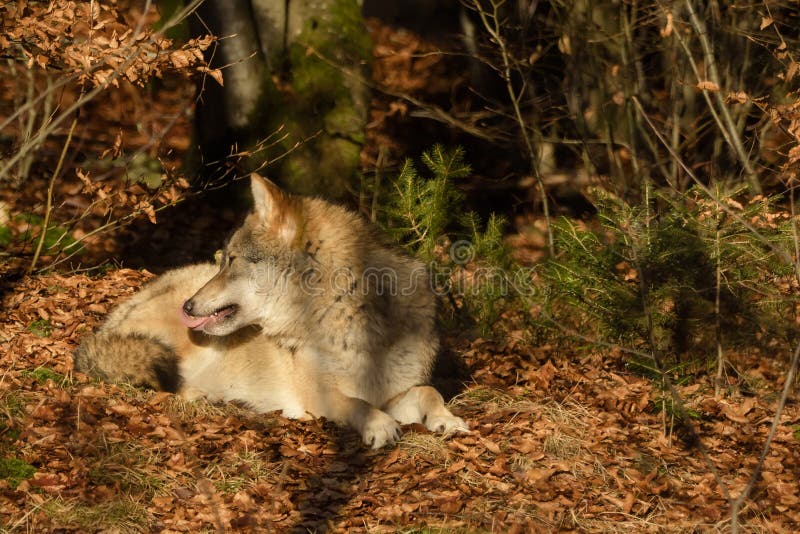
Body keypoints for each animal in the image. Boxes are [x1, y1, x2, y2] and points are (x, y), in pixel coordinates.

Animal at [75, 173, 468, 448]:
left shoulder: (395, 392)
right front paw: (380, 426)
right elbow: (355, 404)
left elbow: (429, 392)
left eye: (232, 260)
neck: (347, 315)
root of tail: (112, 318)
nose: (188, 306)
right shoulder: (318, 397)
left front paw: (447, 420)